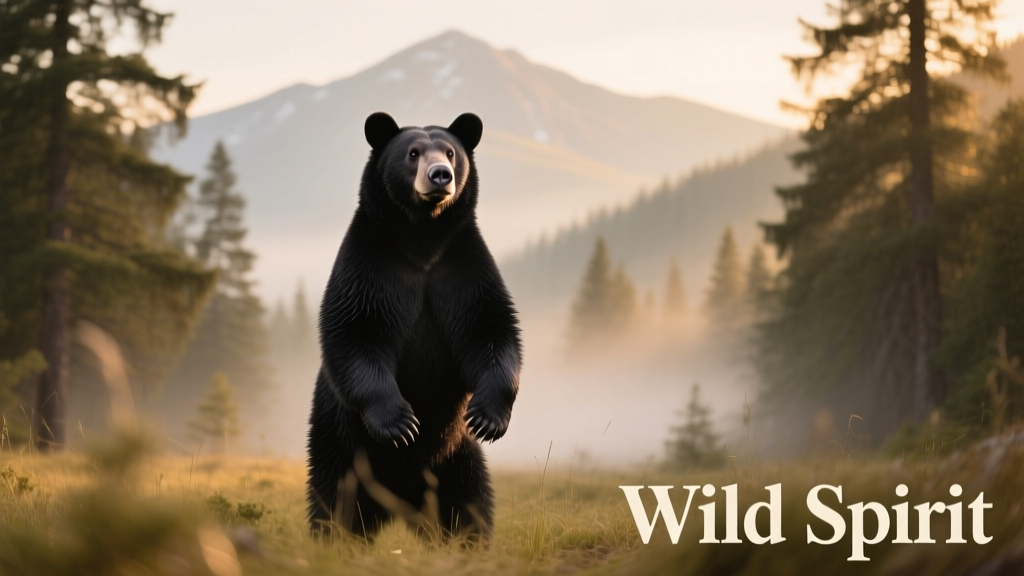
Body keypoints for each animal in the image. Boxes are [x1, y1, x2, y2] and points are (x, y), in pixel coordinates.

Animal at [306, 112, 522, 543]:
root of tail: (397, 502)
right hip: (340, 443)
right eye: (413, 153)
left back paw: (469, 542)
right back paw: (332, 540)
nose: (440, 176)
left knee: (468, 503)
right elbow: (355, 335)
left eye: (451, 152)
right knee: (333, 499)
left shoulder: (463, 268)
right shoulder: (370, 268)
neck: (423, 241)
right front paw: (400, 424)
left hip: (455, 458)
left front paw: (488, 418)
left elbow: (490, 329)